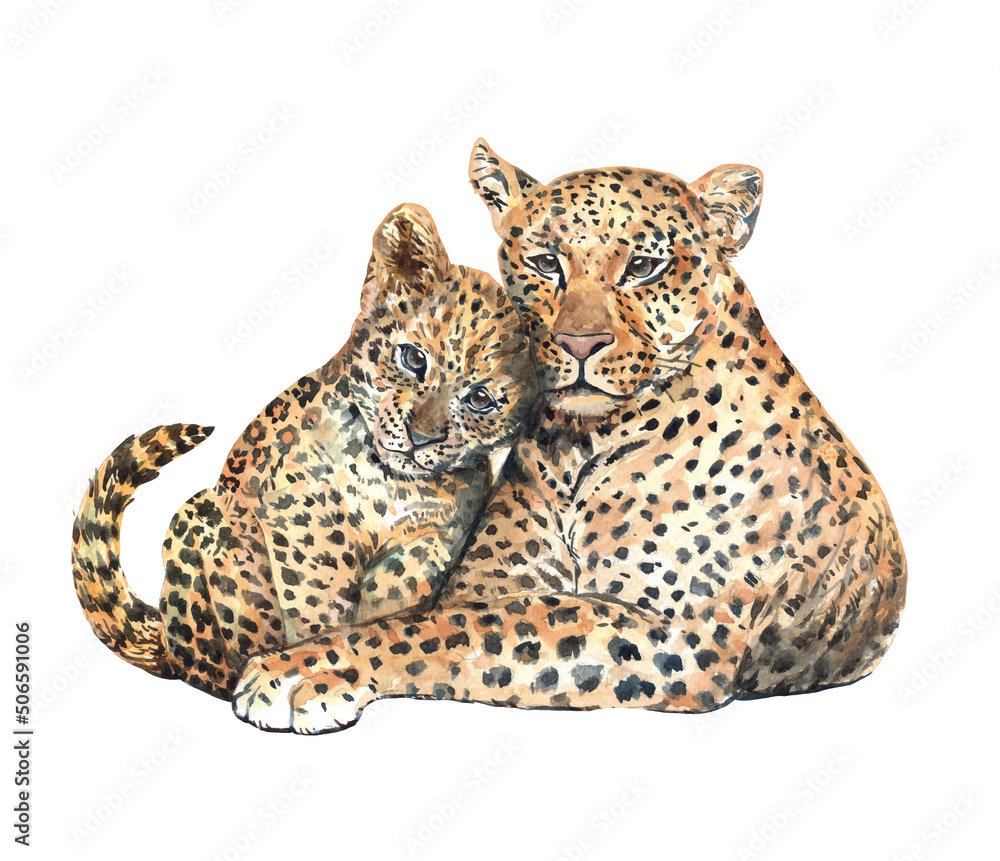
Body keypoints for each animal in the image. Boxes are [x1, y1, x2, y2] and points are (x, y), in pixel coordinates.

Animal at [71, 202, 538, 702]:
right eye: (414, 359)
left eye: (481, 400)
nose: (421, 437)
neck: (392, 484)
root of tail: (164, 641)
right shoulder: (304, 517)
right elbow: (318, 598)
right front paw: (310, 661)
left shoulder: (438, 532)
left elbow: (401, 587)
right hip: (200, 522)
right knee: (209, 664)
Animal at [230, 140, 906, 733]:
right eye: (545, 263)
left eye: (643, 267)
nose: (581, 344)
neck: (580, 447)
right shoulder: (484, 585)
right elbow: (452, 623)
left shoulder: (683, 634)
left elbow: (461, 633)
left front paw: (297, 672)